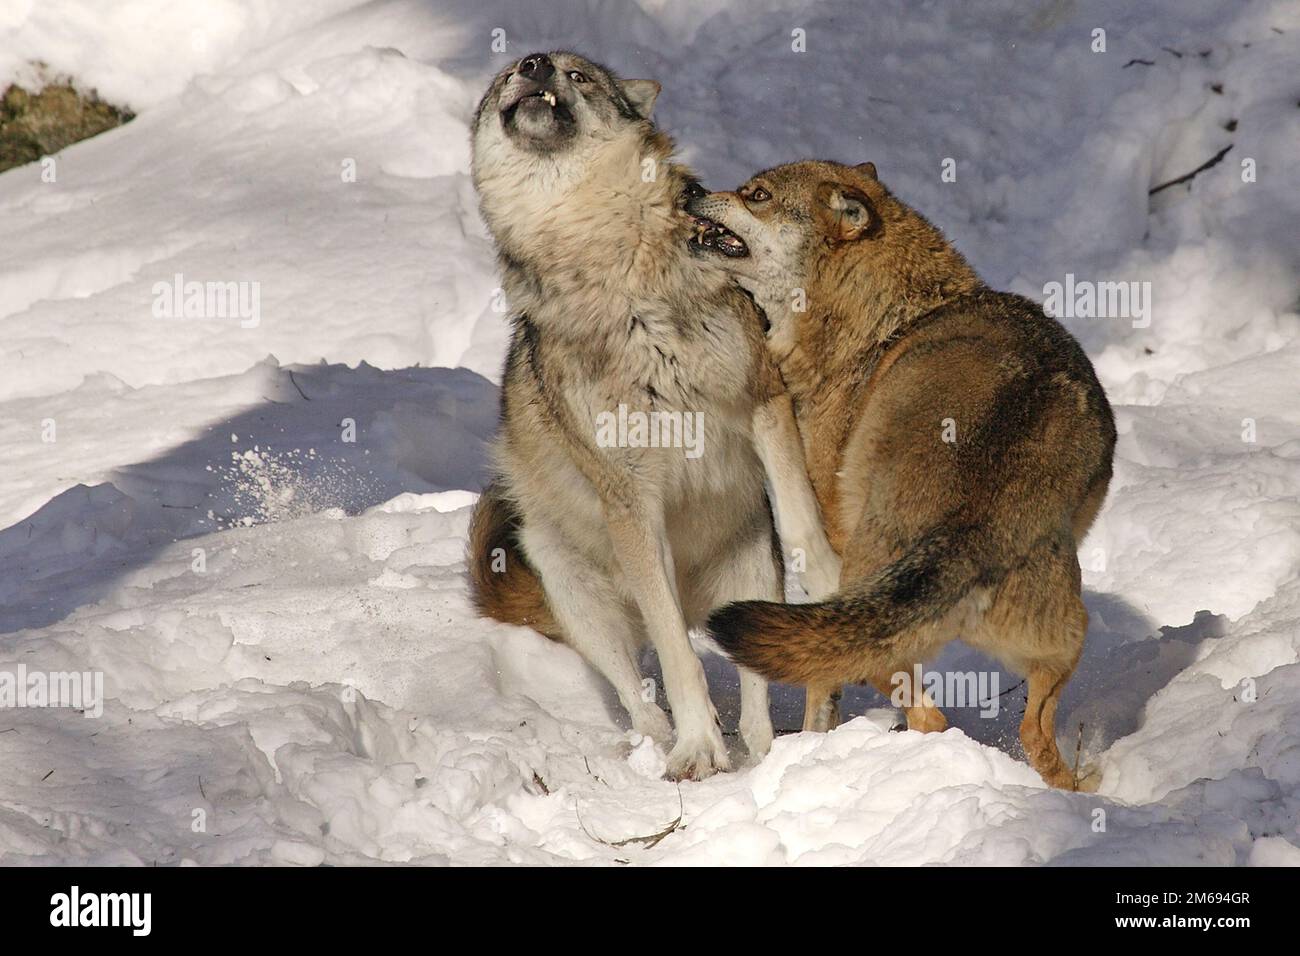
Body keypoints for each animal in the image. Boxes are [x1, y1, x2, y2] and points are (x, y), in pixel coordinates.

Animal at [465, 54, 840, 780]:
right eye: (505, 81)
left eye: (577, 75)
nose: (533, 65)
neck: (611, 263)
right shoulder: (631, 498)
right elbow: (674, 655)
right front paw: (696, 747)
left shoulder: (762, 399)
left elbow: (803, 523)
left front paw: (828, 578)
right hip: (570, 582)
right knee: (639, 688)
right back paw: (660, 742)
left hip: (748, 579)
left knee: (754, 693)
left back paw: (763, 753)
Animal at [690, 160, 1116, 789]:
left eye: (756, 194)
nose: (691, 190)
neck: (886, 318)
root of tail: (967, 531)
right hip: (1063, 642)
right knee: (1029, 734)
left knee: (929, 715)